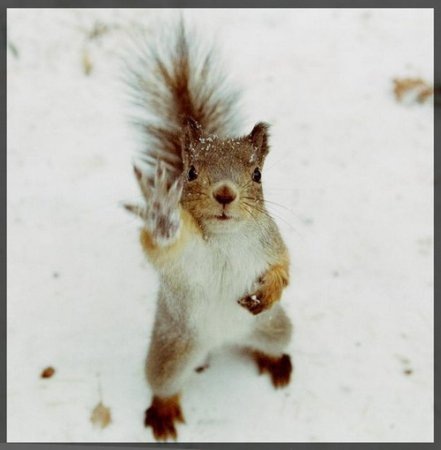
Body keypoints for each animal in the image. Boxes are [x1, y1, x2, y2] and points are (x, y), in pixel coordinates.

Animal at [124, 21, 293, 441]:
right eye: (190, 172)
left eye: (257, 174)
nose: (225, 194)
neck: (228, 239)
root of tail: (221, 342)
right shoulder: (185, 258)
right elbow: (163, 246)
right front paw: (162, 215)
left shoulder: (270, 241)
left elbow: (283, 266)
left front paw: (268, 290)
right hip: (170, 353)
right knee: (163, 383)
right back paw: (163, 411)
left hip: (275, 327)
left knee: (272, 342)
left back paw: (276, 363)